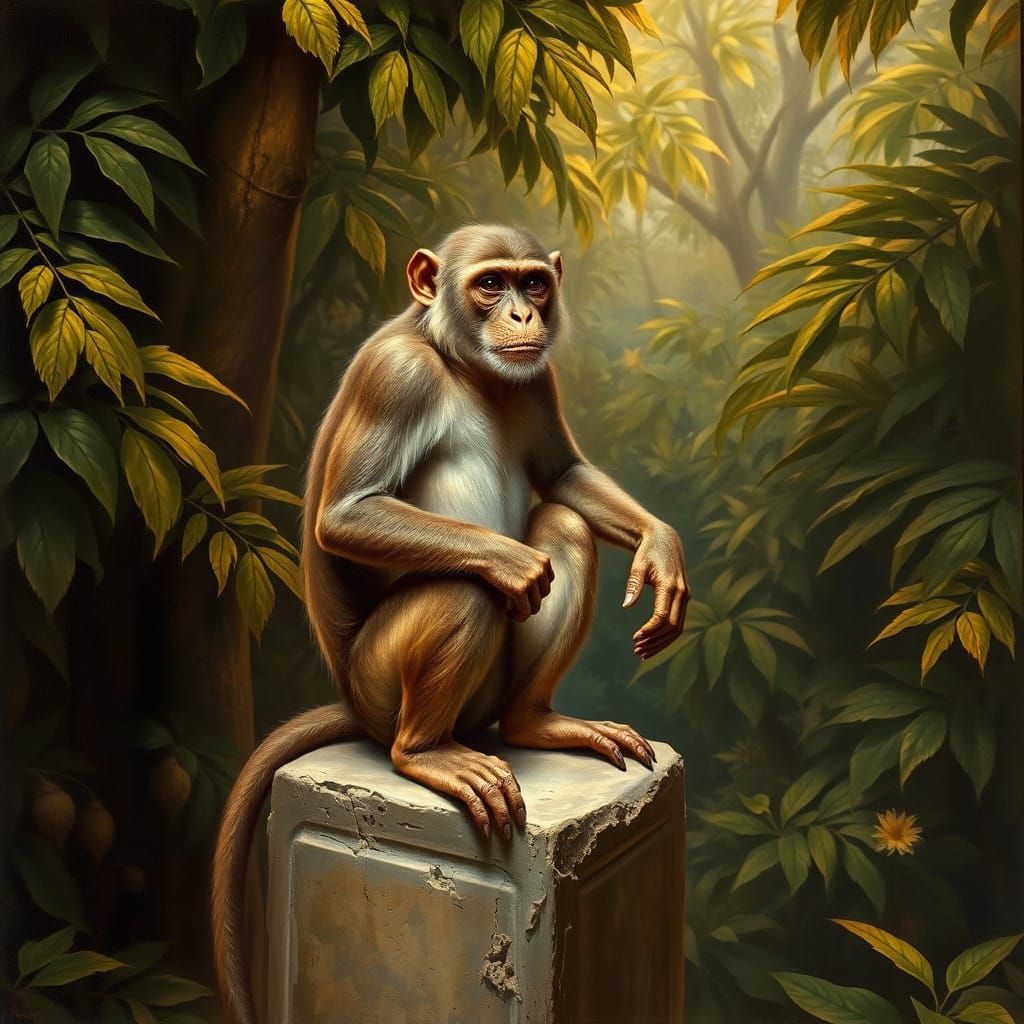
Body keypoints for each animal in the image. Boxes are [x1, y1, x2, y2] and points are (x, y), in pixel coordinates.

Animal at [211, 224, 689, 1024]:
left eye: (534, 284)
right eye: (491, 284)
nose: (523, 315)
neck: (462, 365)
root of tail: (355, 708)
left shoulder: (539, 380)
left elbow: (563, 476)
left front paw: (659, 543)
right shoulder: (395, 377)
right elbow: (349, 514)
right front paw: (514, 562)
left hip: (486, 701)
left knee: (565, 526)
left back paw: (535, 722)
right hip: (381, 688)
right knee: (470, 588)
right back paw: (427, 749)